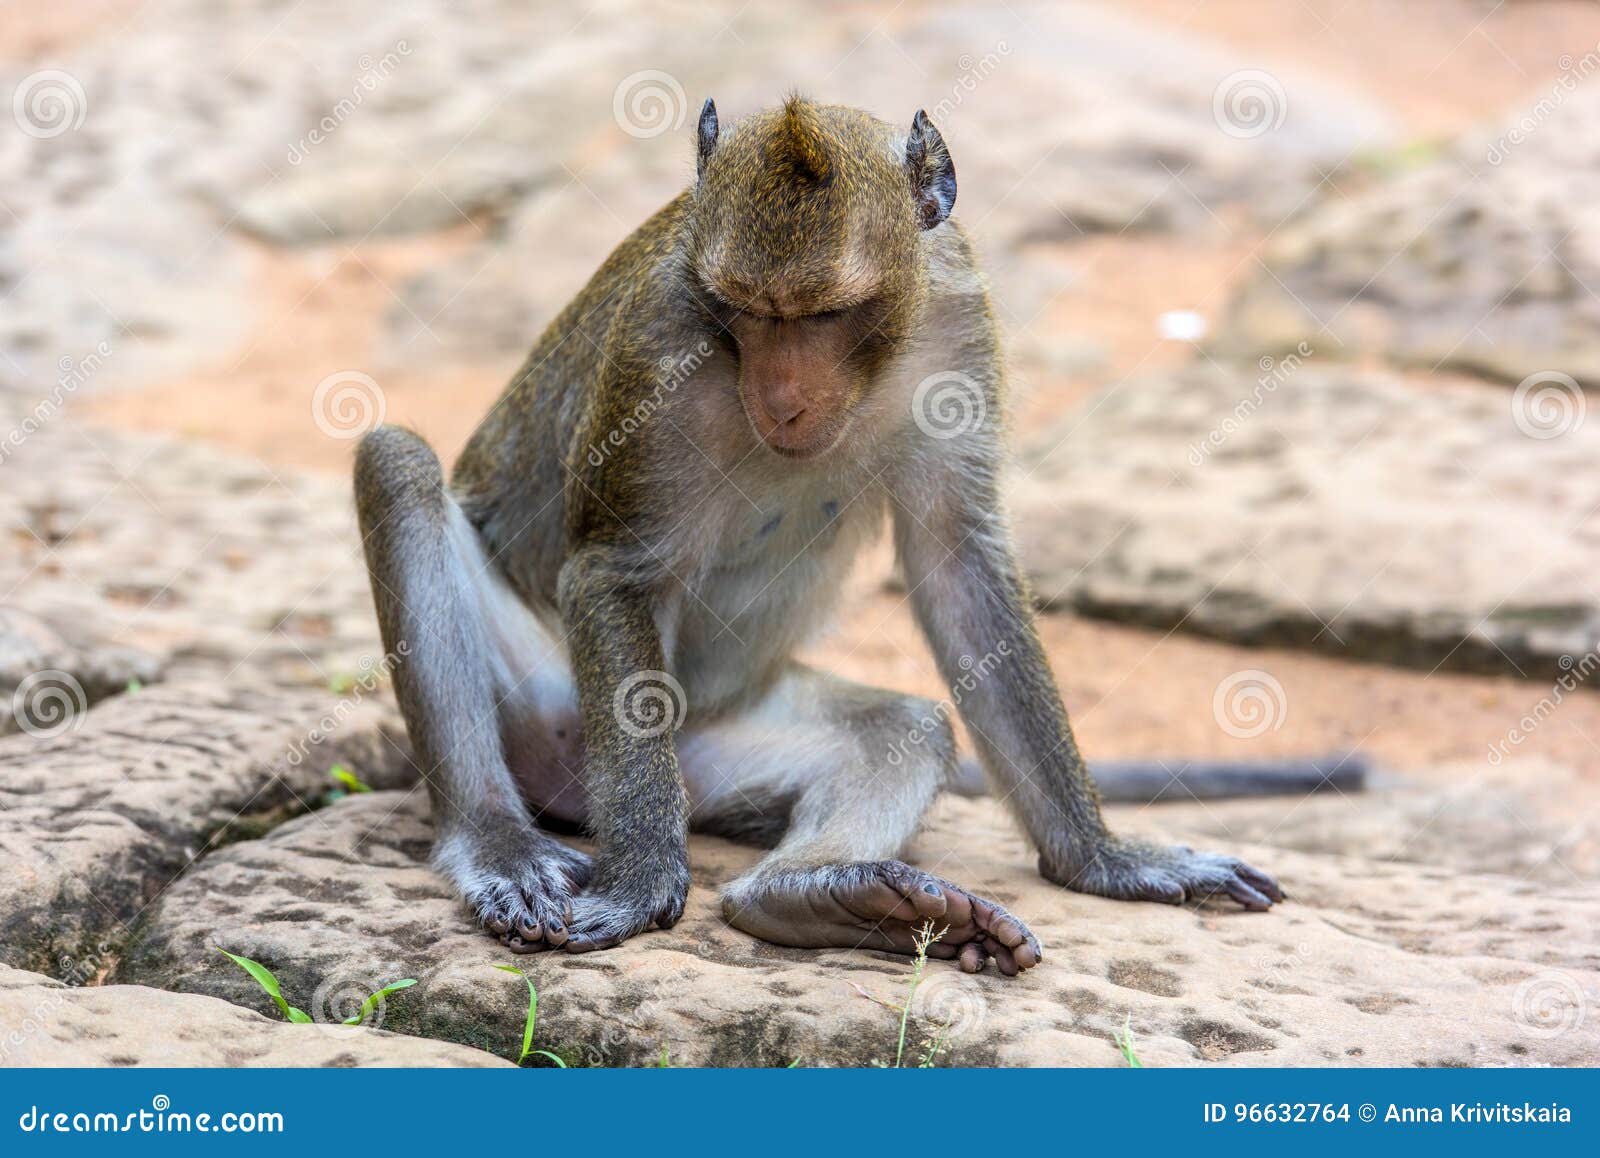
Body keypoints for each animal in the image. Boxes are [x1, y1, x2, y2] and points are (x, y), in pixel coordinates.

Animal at [354, 95, 1296, 977]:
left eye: (827, 313)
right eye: (744, 309)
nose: (782, 398)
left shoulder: (956, 323)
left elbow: (959, 566)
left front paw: (1104, 859)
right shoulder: (661, 343)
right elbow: (614, 572)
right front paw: (640, 884)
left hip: (716, 748)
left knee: (907, 729)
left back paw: (818, 896)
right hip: (549, 707)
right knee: (396, 466)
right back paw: (499, 842)